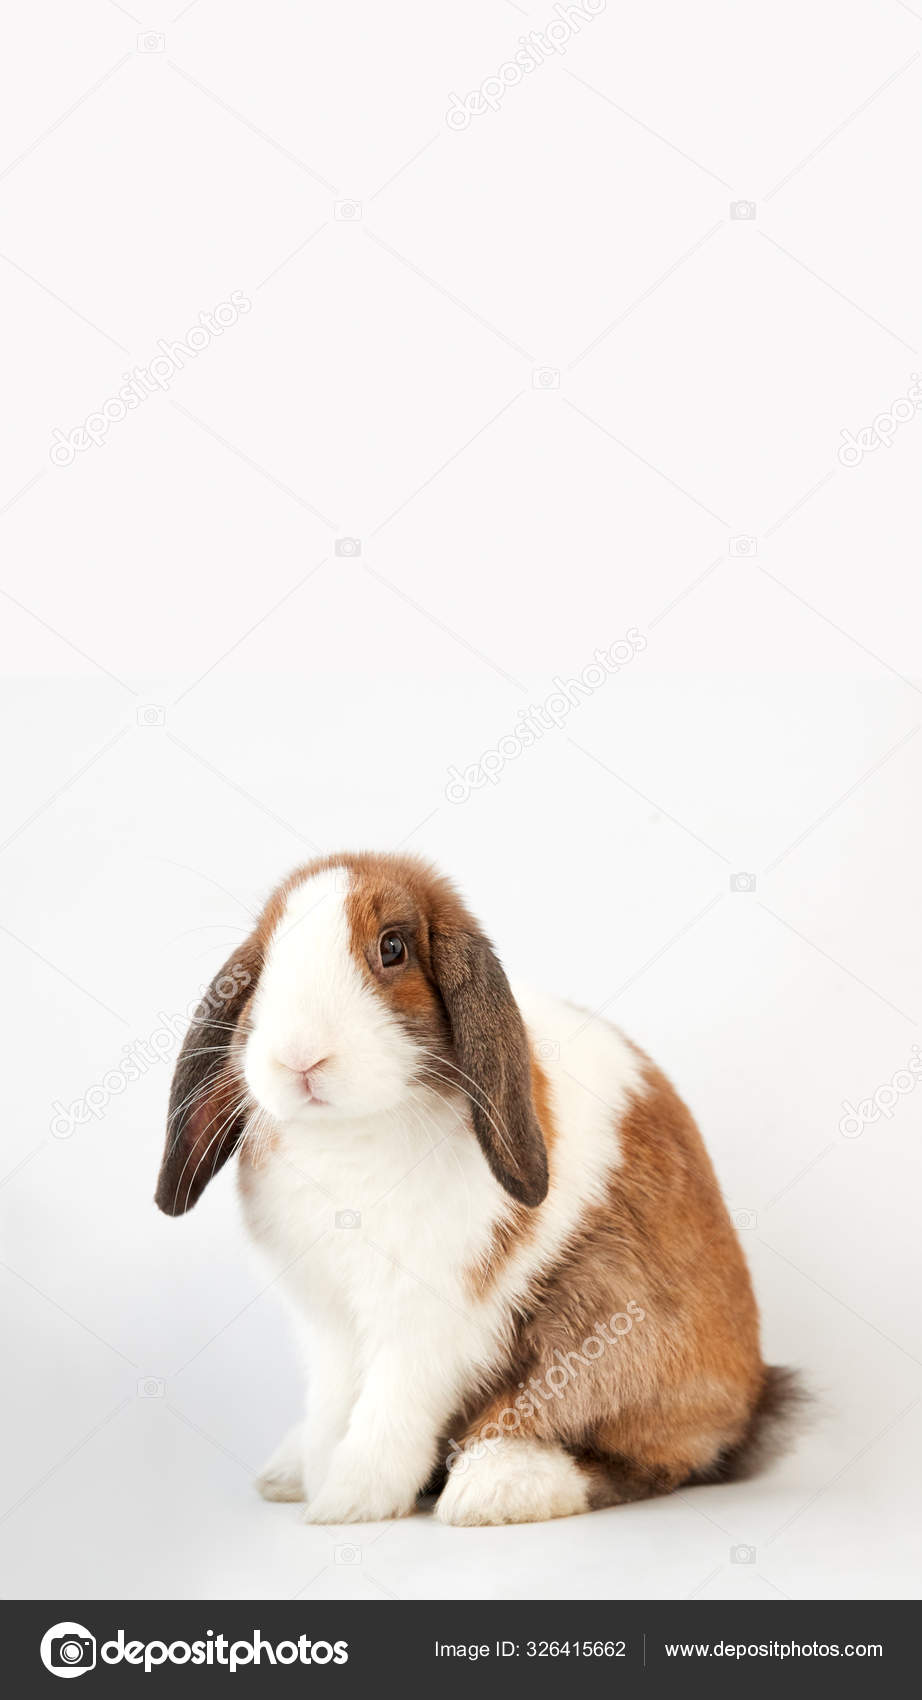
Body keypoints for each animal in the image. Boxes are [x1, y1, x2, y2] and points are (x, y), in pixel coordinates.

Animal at [155, 851, 800, 1526]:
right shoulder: (327, 1321)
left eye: (392, 948)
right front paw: (319, 1477)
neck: (351, 1133)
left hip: (608, 1329)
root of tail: (755, 1393)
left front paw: (345, 1503)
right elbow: (333, 1408)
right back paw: (286, 1471)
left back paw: (492, 1488)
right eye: (263, 961)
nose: (299, 1058)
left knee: (628, 1456)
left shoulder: (426, 1320)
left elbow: (389, 1412)